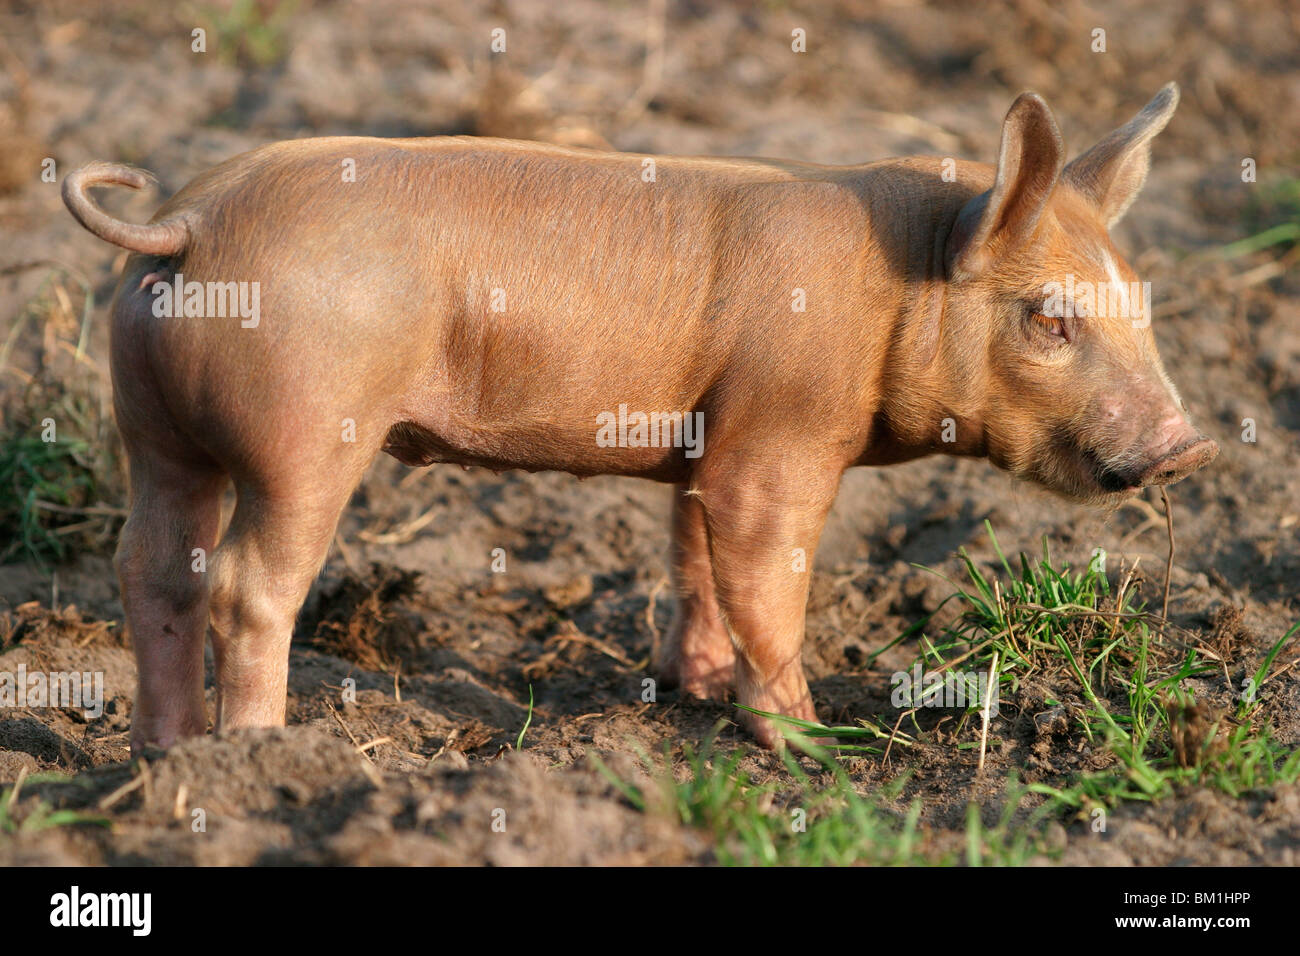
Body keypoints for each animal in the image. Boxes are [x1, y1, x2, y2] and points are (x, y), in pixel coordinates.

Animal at [62, 83, 1216, 753]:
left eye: (1142, 303)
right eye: (1050, 318)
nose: (1189, 447)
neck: (907, 281)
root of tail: (188, 219)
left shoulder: (704, 434)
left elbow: (694, 558)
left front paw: (691, 689)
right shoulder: (778, 434)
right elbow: (766, 573)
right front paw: (811, 744)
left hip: (150, 424)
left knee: (154, 568)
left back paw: (163, 759)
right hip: (308, 425)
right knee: (249, 583)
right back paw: (254, 759)